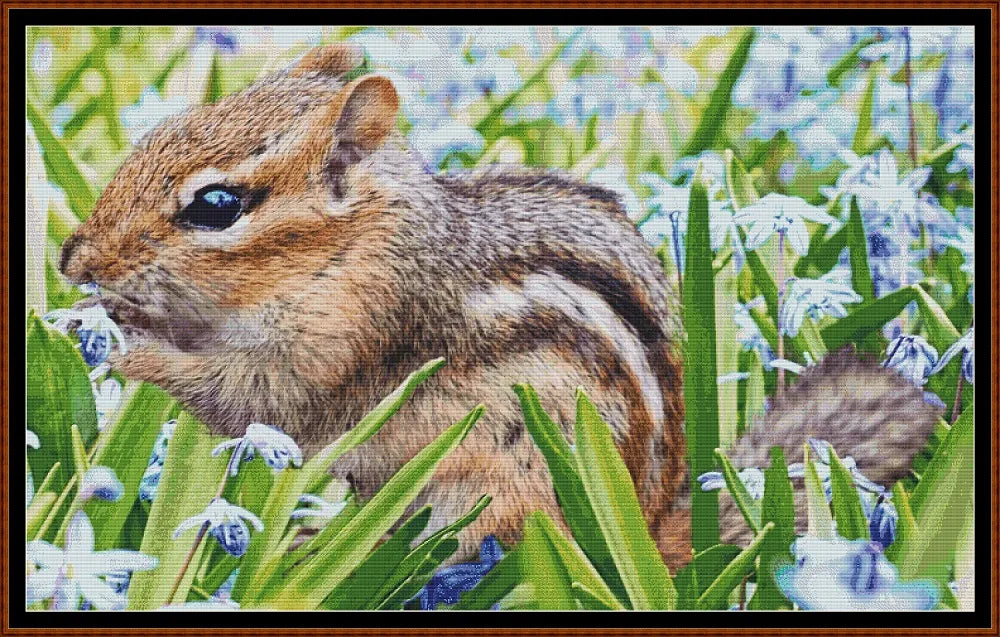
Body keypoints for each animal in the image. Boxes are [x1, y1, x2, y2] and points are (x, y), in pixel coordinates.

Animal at [58, 44, 942, 570]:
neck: (346, 250)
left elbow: (249, 396)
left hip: (499, 494)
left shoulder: (350, 344)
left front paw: (116, 340)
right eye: (160, 130)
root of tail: (650, 530)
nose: (73, 259)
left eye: (216, 204)